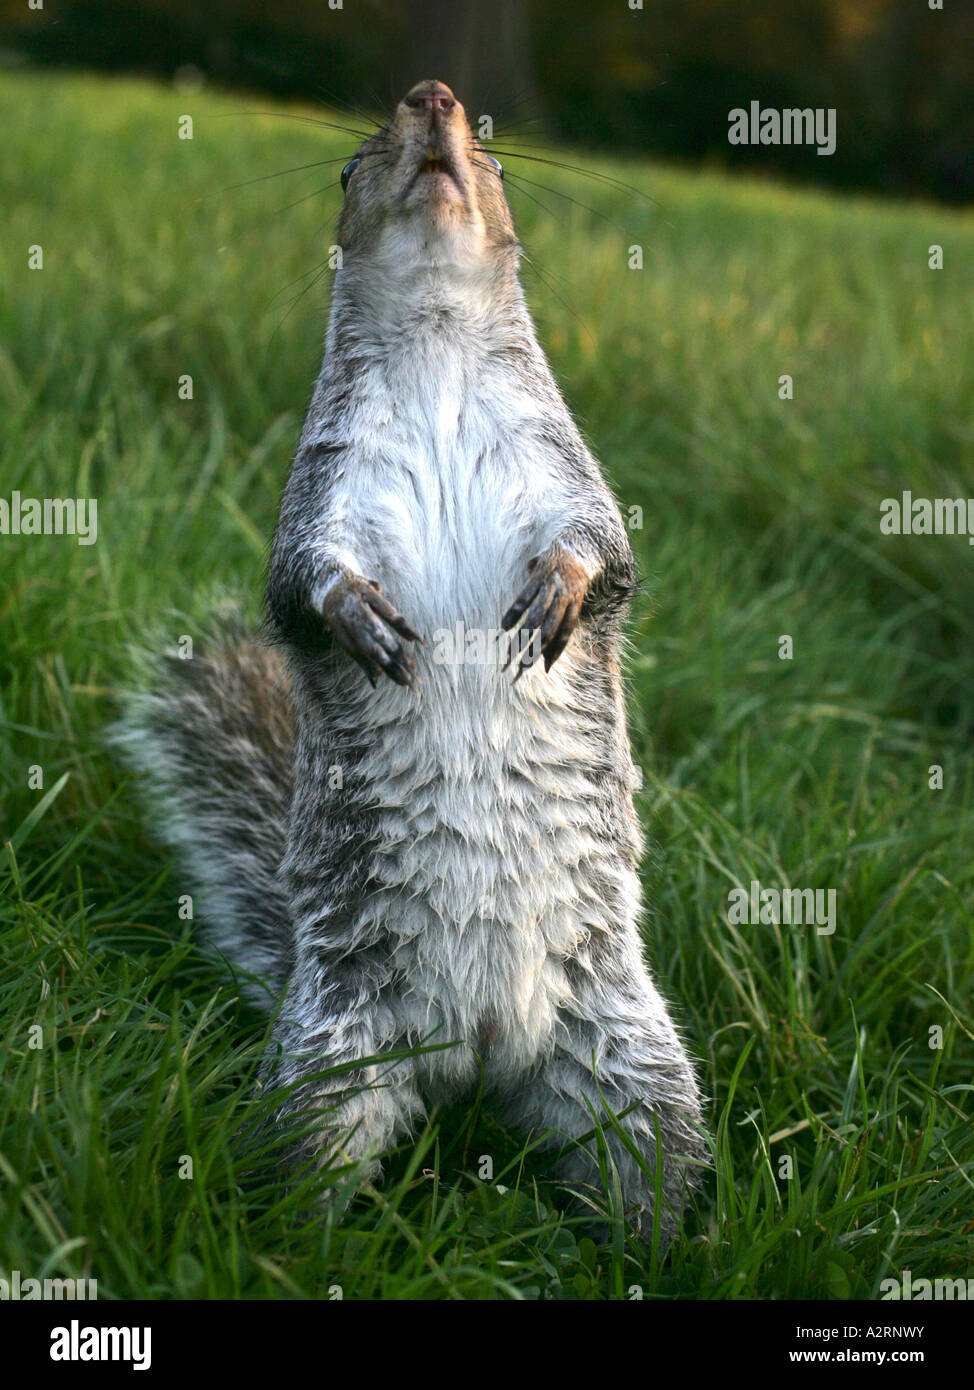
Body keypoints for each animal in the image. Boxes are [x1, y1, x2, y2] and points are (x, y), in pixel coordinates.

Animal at [115, 80, 707, 1241]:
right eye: (350, 164)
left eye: (494, 155)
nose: (433, 100)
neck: (436, 342)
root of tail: (477, 1054)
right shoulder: (324, 483)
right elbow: (304, 579)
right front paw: (357, 618)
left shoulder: (568, 472)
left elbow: (602, 551)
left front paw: (560, 589)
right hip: (332, 1070)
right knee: (305, 1172)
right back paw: (281, 1247)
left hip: (633, 1071)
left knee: (651, 1170)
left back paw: (665, 1251)